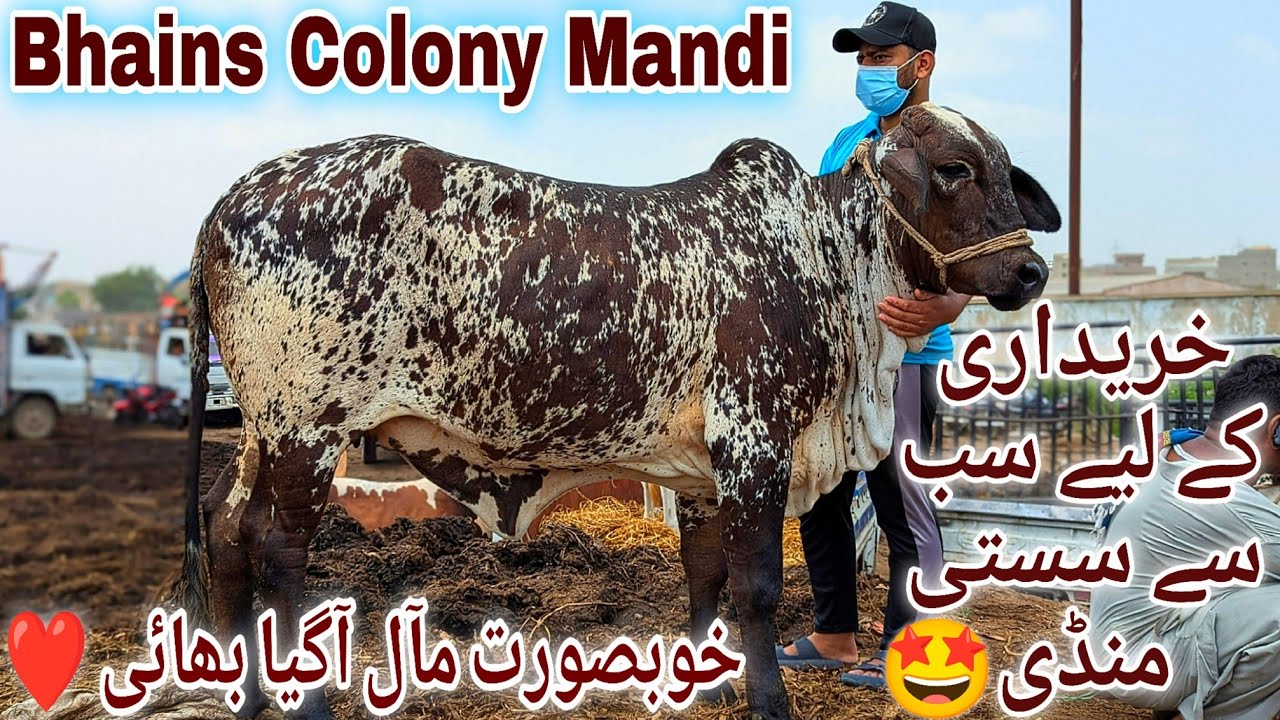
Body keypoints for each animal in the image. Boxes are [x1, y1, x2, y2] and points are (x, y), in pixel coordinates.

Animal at [177, 102, 1058, 719]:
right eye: (953, 168)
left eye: (1008, 171)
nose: (1030, 272)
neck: (827, 255)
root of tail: (230, 199)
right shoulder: (754, 441)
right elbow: (757, 586)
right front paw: (768, 700)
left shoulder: (702, 469)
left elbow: (705, 575)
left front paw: (707, 686)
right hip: (307, 425)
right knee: (279, 550)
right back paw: (303, 702)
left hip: (264, 428)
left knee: (226, 526)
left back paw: (242, 695)